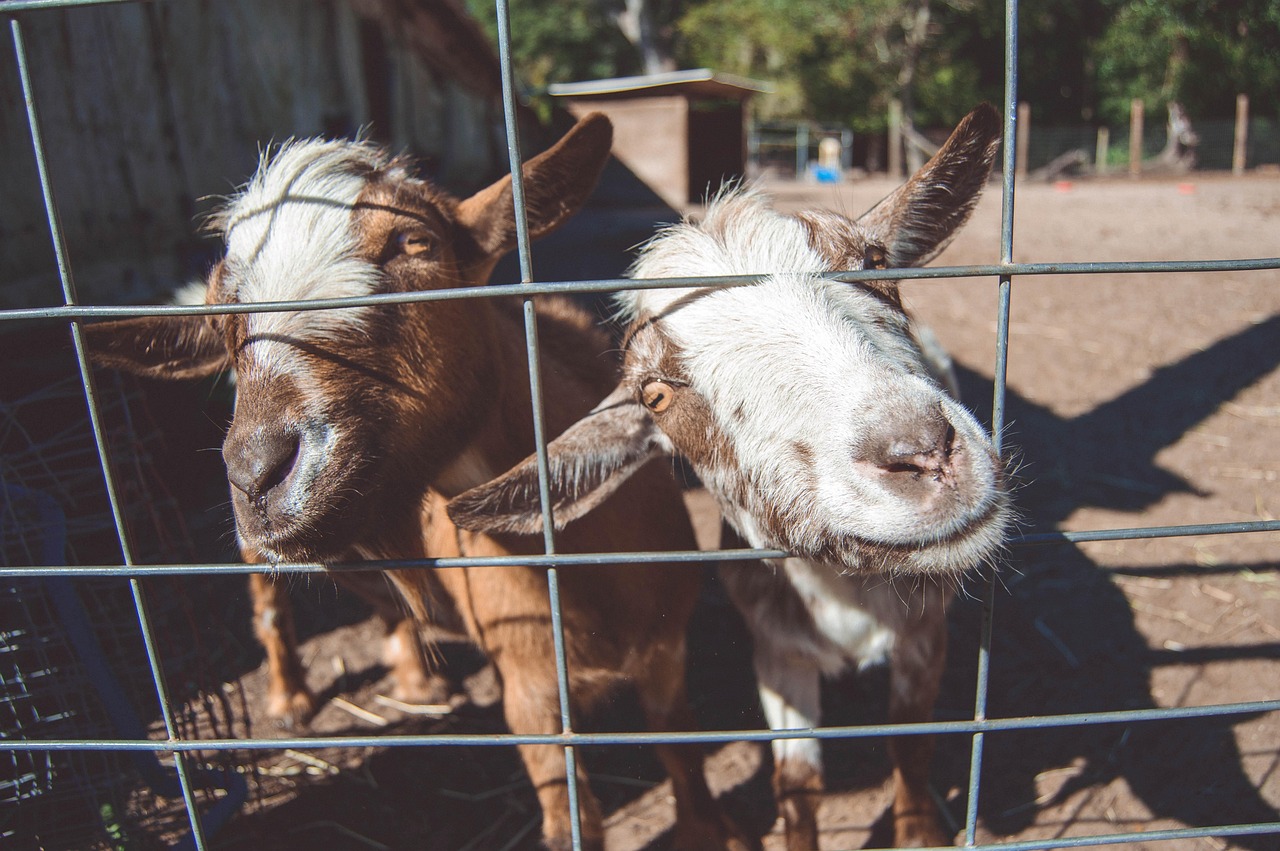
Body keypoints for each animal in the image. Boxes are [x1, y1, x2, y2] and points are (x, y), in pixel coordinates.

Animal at [86, 115, 754, 851]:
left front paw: (713, 830)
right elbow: (568, 808)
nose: (258, 470)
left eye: (414, 243)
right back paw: (290, 700)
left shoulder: (666, 650)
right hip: (259, 546)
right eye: (219, 316)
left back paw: (415, 678)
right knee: (269, 603)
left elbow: (681, 747)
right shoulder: (528, 688)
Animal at [449, 104, 1013, 849]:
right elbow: (796, 784)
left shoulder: (926, 634)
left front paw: (920, 833)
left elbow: (911, 746)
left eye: (872, 262)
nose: (922, 453)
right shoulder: (777, 653)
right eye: (656, 393)